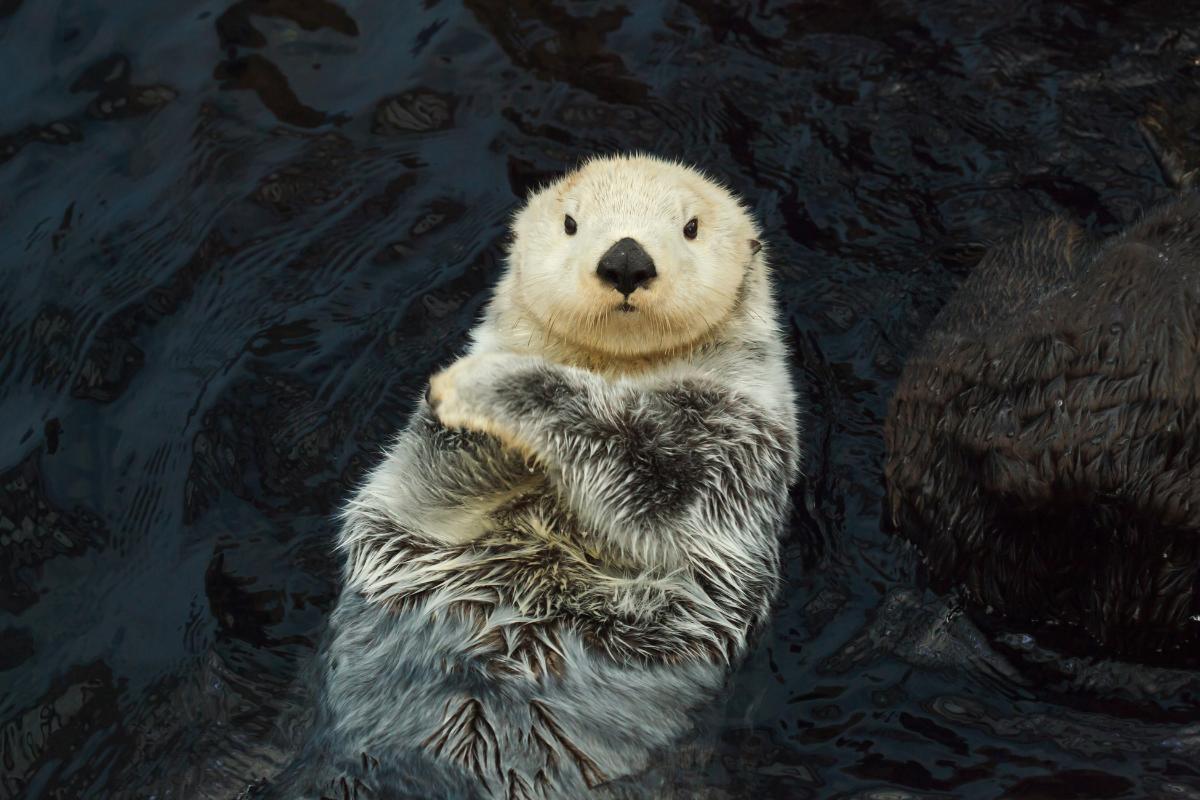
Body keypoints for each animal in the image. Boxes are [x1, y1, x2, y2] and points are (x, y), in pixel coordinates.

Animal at [265, 155, 801, 798]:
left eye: (691, 227)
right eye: (571, 223)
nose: (626, 260)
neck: (615, 370)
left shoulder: (732, 444)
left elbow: (653, 484)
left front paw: (492, 384)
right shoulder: (416, 495)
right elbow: (425, 485)